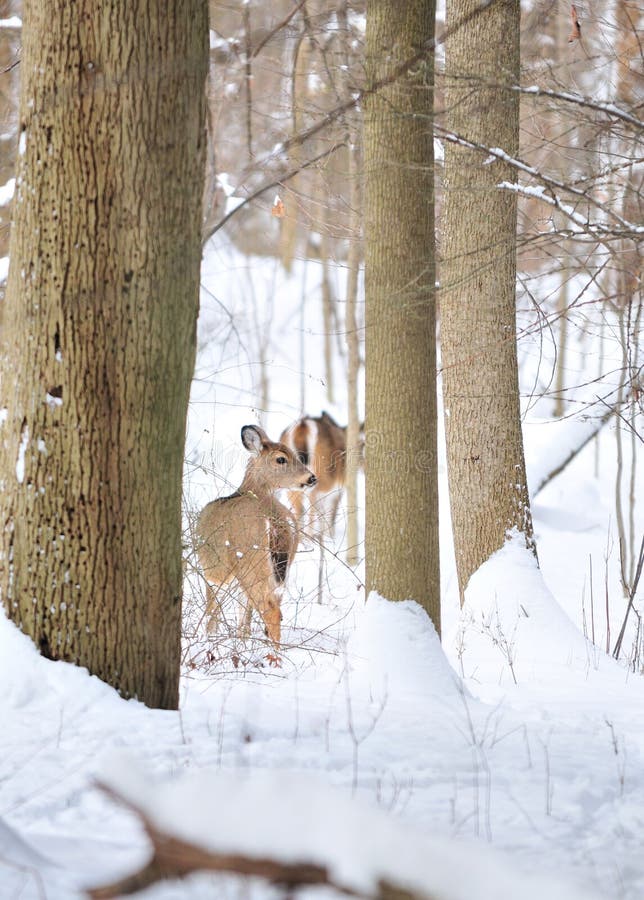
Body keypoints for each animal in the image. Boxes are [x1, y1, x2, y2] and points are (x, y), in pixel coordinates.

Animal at [196, 425, 317, 645]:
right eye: (282, 459)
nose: (312, 477)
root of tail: (273, 518)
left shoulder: (213, 570)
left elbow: (212, 608)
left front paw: (208, 636)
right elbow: (243, 610)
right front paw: (242, 640)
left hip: (250, 558)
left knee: (270, 608)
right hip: (281, 566)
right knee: (273, 603)